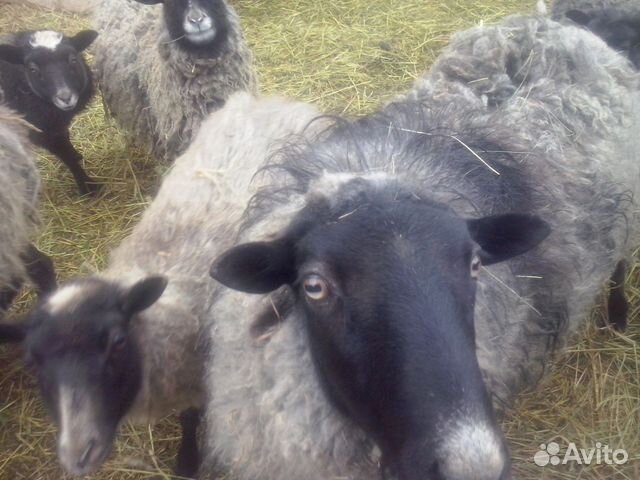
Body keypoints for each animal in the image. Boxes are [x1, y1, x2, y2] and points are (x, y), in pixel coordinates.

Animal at [0, 30, 100, 195]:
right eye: (33, 69)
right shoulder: (41, 132)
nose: (65, 97)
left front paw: (76, 155)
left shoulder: (54, 124)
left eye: (73, 60)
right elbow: (66, 156)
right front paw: (87, 185)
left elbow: (66, 137)